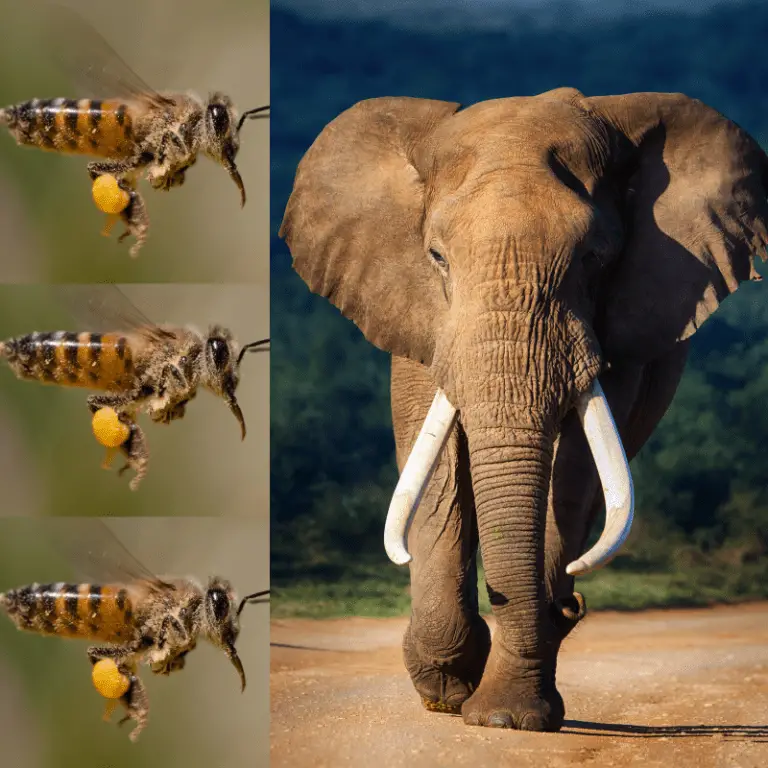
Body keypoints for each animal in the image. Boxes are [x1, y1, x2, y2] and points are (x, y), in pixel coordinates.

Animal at [279, 87, 768, 731]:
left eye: (594, 258)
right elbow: (435, 458)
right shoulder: (415, 309)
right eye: (436, 256)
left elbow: (578, 470)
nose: (572, 603)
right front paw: (449, 688)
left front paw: (506, 717)